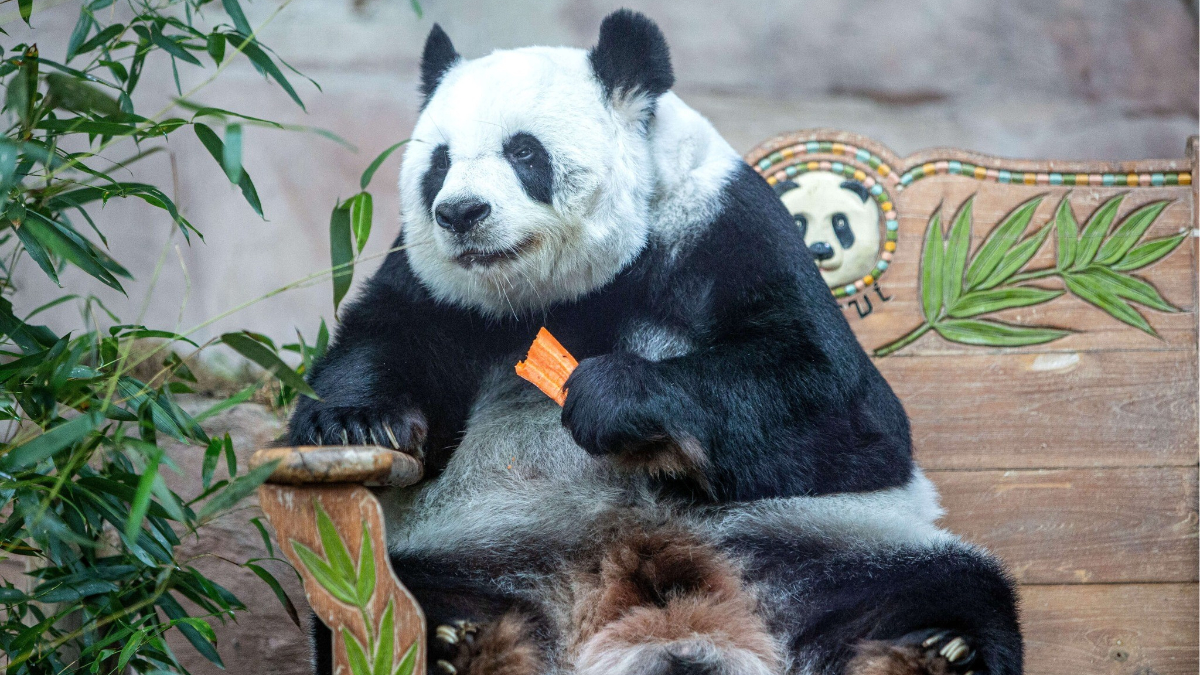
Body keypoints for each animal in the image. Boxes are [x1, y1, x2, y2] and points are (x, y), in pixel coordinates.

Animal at [289, 11, 1022, 675]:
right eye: (437, 165)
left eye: (524, 152)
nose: (461, 213)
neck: (557, 295)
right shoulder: (433, 286)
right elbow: (387, 339)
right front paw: (355, 421)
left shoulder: (726, 225)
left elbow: (847, 411)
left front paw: (612, 396)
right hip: (477, 549)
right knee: (404, 599)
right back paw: (456, 645)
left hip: (828, 544)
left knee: (948, 590)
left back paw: (930, 652)